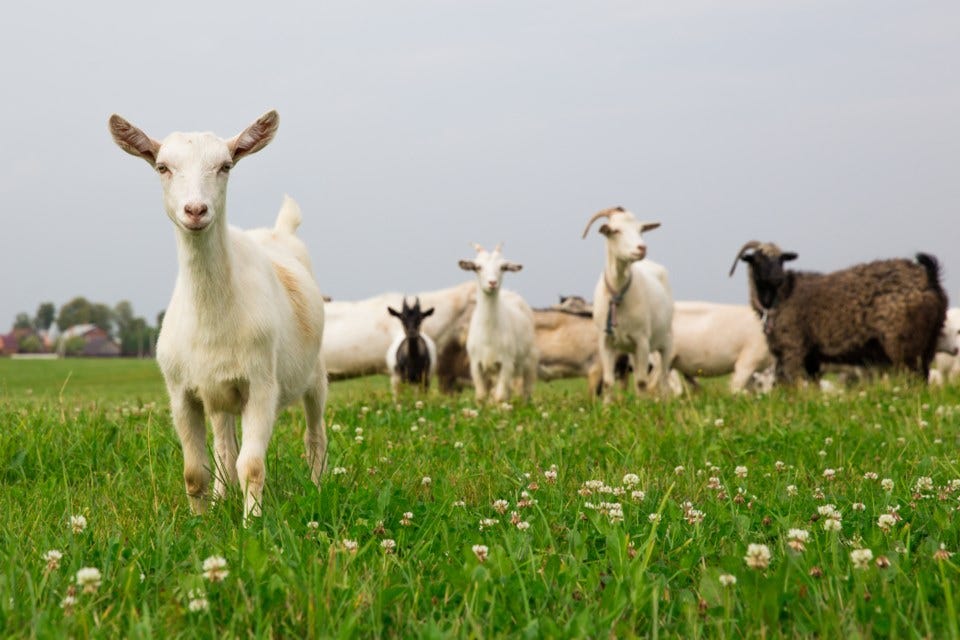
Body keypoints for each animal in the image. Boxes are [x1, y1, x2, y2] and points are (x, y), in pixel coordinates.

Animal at [109, 111, 328, 520]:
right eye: (162, 167)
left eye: (225, 166)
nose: (196, 211)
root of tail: (278, 233)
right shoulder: (182, 392)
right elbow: (195, 470)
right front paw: (199, 521)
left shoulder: (261, 384)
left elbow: (252, 465)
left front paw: (251, 523)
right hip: (219, 394)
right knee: (225, 447)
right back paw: (222, 497)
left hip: (316, 373)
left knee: (315, 434)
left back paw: (319, 487)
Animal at [458, 243, 538, 402]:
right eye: (477, 267)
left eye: (503, 267)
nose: (492, 283)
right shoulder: (476, 364)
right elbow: (481, 396)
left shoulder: (506, 363)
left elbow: (500, 397)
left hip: (528, 361)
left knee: (525, 390)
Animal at [581, 207, 674, 399]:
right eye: (615, 230)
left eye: (641, 230)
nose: (642, 248)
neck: (617, 295)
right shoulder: (606, 341)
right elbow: (608, 382)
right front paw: (607, 405)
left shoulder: (642, 340)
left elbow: (641, 382)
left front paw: (642, 406)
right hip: (632, 351)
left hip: (666, 341)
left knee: (663, 379)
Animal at [730, 240, 948, 384]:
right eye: (758, 259)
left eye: (782, 260)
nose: (778, 277)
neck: (781, 296)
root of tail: (929, 278)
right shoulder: (809, 356)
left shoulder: (793, 349)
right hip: (929, 340)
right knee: (923, 377)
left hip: (902, 342)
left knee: (912, 379)